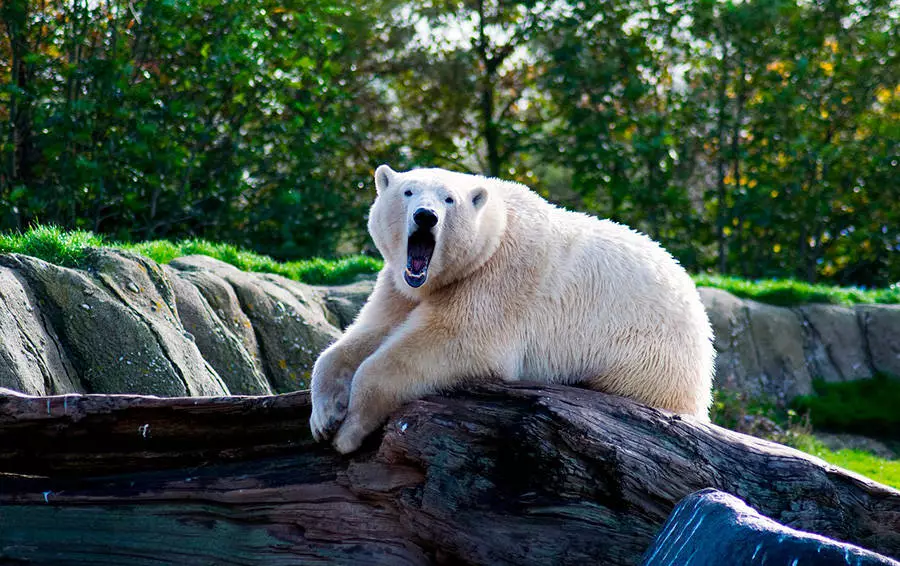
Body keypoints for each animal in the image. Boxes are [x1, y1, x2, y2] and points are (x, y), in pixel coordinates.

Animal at [312, 166, 712, 454]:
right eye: (408, 191)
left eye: (448, 199)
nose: (425, 216)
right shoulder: (401, 289)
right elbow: (366, 335)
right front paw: (324, 416)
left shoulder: (500, 277)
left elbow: (449, 342)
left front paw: (349, 430)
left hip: (648, 357)